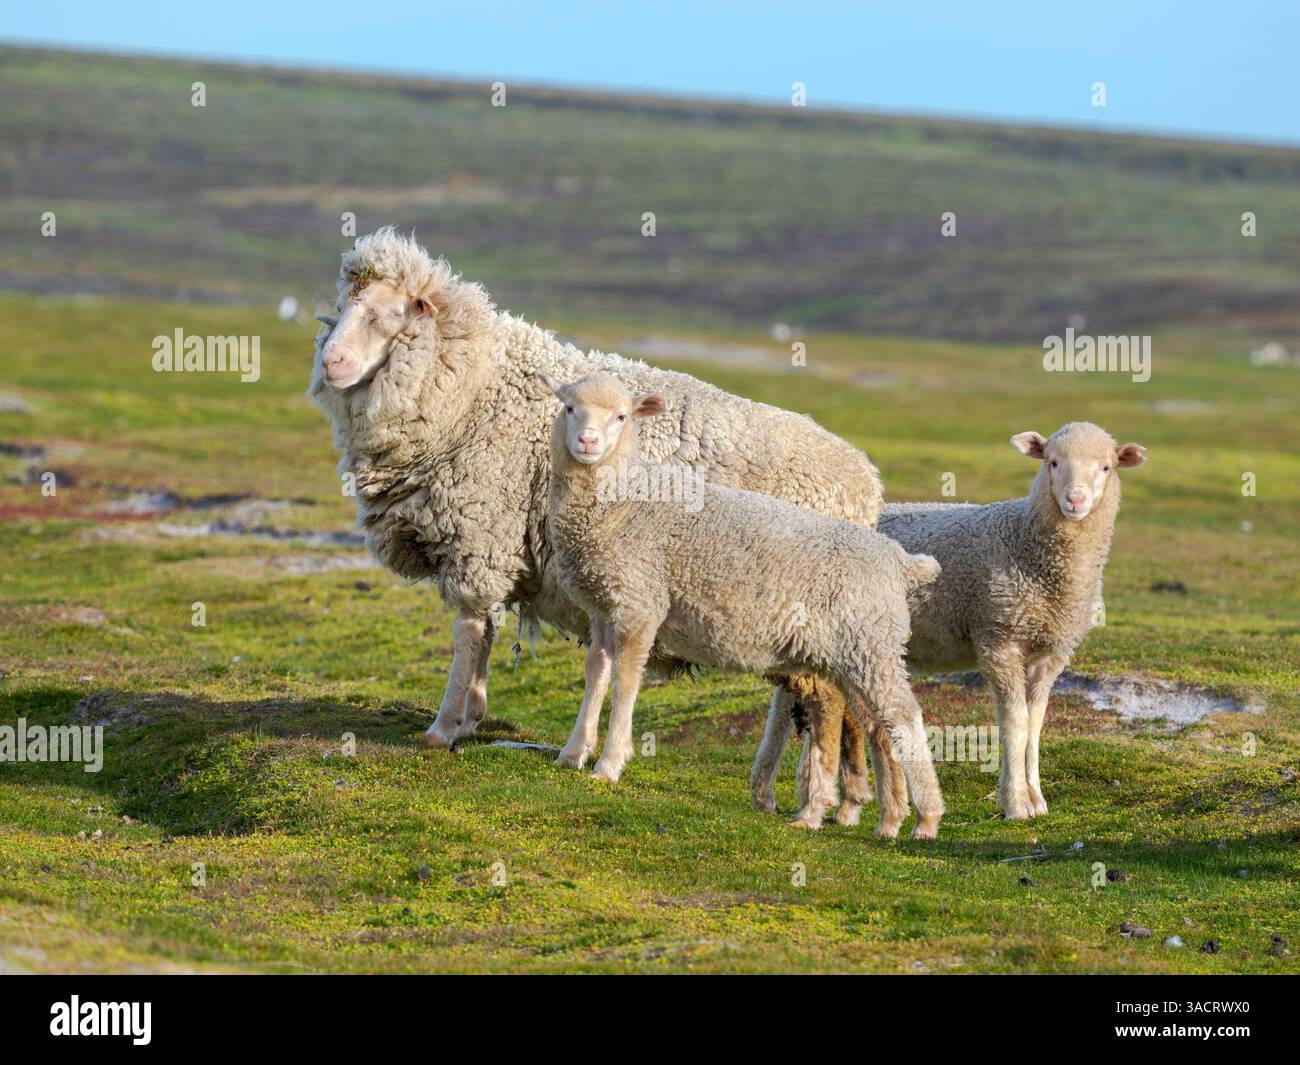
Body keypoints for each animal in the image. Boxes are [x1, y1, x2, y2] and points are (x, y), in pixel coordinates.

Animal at [308, 227, 884, 770]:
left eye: (387, 315)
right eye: (341, 308)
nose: (333, 363)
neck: (473, 387)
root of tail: (867, 482)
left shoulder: (479, 539)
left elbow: (469, 634)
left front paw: (444, 726)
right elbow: (488, 633)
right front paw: (472, 715)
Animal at [541, 371, 946, 837]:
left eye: (622, 416)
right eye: (569, 407)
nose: (587, 442)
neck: (625, 502)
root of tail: (899, 561)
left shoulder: (641, 603)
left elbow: (626, 681)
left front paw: (609, 763)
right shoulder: (603, 606)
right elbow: (597, 673)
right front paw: (573, 752)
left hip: (869, 645)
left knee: (904, 716)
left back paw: (925, 818)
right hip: (850, 653)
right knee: (873, 722)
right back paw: (886, 818)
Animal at [751, 421, 1147, 823]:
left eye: (1106, 467)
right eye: (1052, 462)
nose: (1075, 501)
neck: (1028, 544)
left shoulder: (1050, 652)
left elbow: (1035, 723)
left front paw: (1036, 798)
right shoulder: (997, 638)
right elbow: (1016, 721)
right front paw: (1017, 802)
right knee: (791, 704)